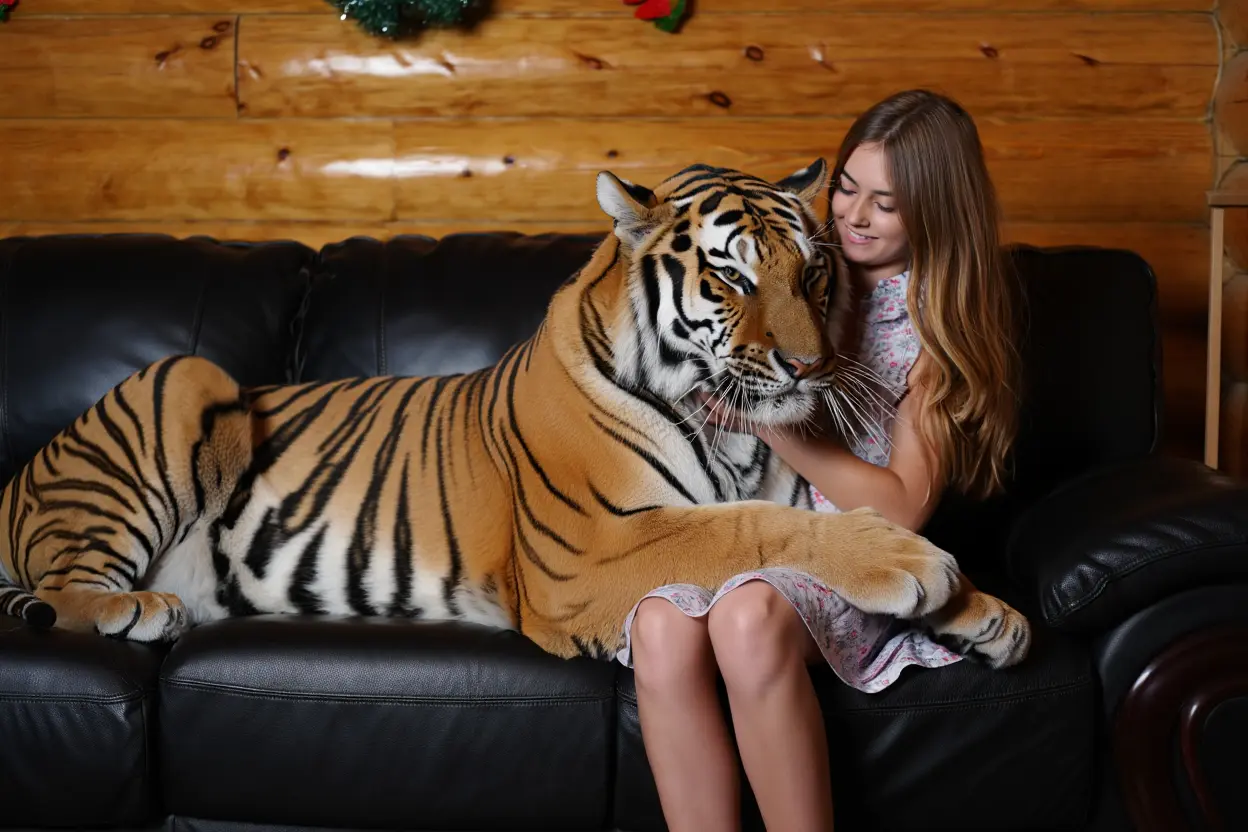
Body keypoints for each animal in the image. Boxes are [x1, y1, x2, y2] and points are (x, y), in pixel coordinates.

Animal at [0, 159, 1030, 669]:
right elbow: (744, 527)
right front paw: (911, 563)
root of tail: (16, 481)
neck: (728, 426)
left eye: (815, 273)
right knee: (60, 585)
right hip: (181, 380)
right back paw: (137, 610)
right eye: (734, 277)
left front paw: (991, 615)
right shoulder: (591, 553)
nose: (813, 366)